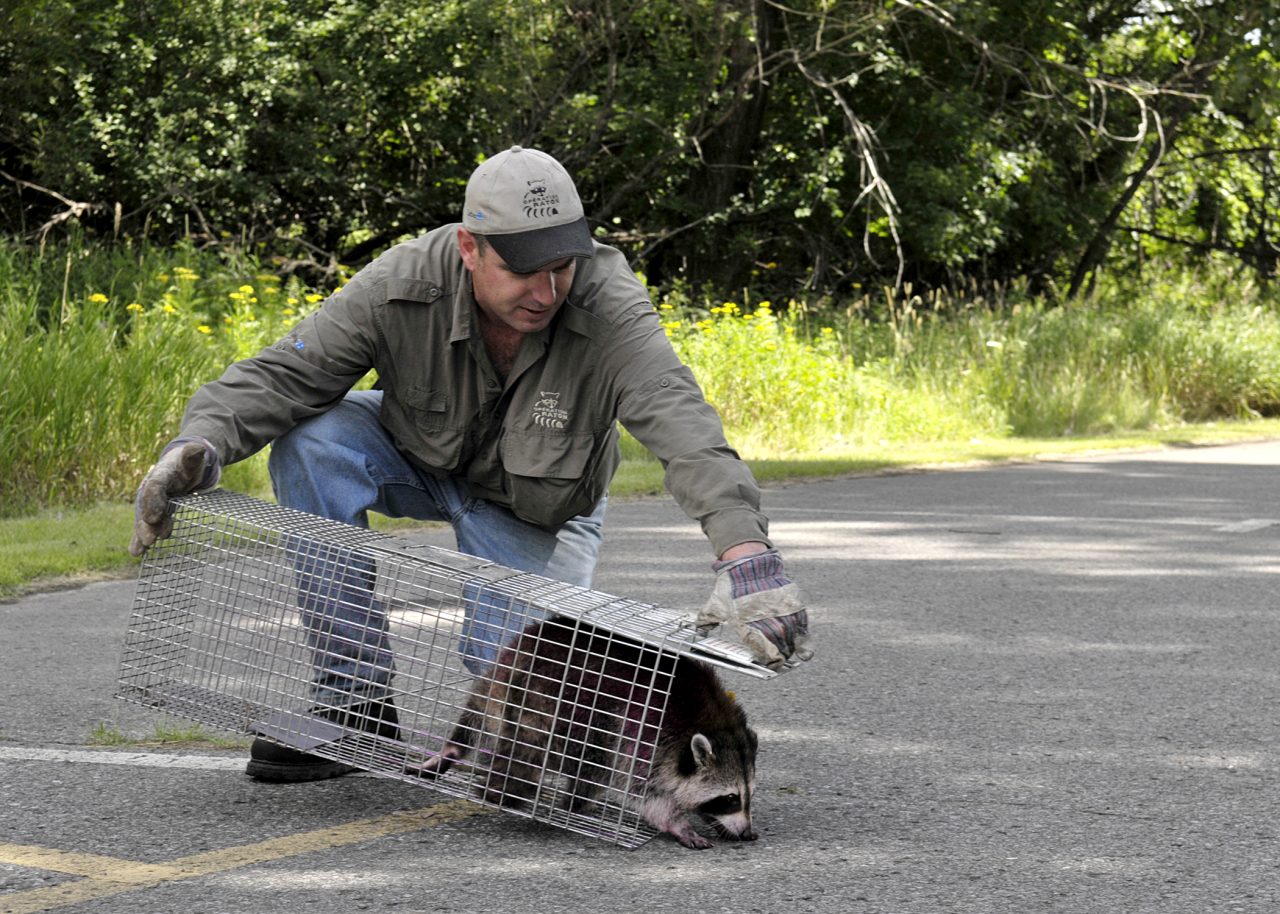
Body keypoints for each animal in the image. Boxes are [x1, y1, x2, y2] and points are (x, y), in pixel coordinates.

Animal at [419, 615, 758, 849]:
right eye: (730, 798)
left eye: (748, 796)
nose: (746, 832)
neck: (712, 720)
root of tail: (523, 657)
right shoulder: (646, 729)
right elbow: (640, 788)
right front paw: (674, 822)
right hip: (557, 700)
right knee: (589, 756)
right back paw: (571, 800)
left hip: (500, 681)